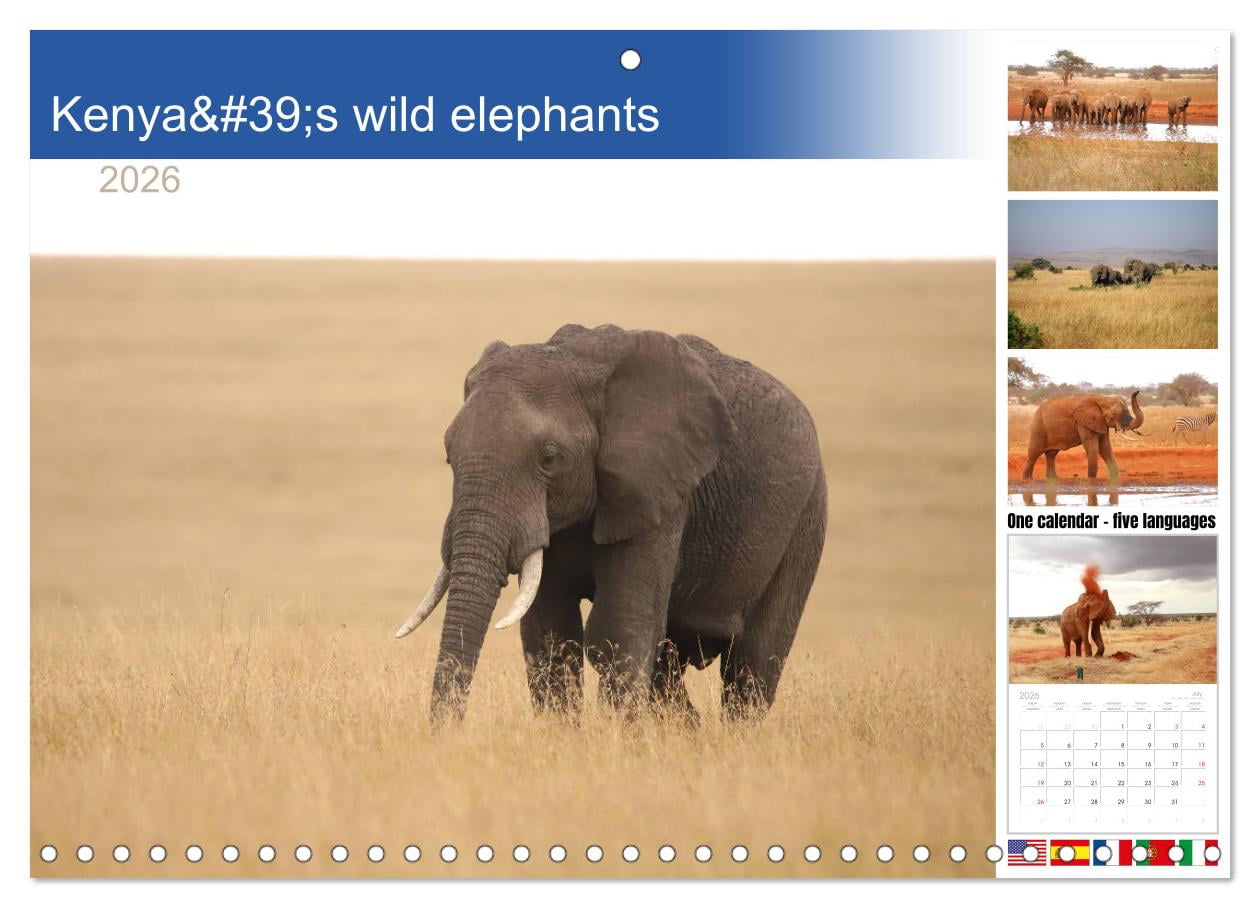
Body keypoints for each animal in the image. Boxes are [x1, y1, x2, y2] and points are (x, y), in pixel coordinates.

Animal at [395, 324, 828, 726]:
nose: (444, 735)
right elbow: (550, 635)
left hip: (806, 515)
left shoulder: (659, 488)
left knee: (752, 666)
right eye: (449, 455)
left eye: (549, 457)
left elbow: (616, 632)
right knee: (668, 666)